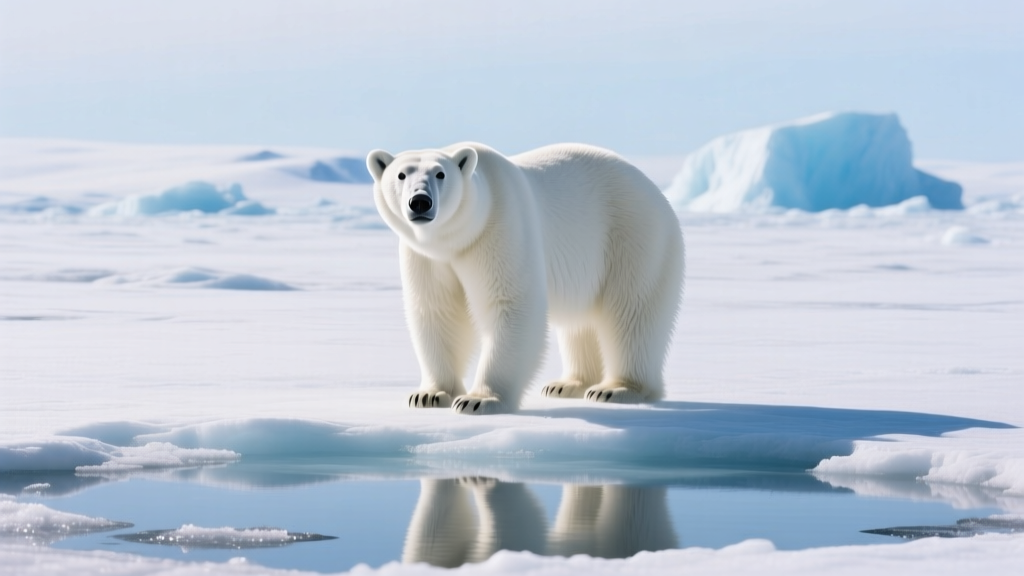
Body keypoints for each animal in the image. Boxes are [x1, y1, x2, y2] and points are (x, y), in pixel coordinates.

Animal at [366, 143, 684, 414]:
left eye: (440, 173)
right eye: (401, 174)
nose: (420, 202)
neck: (457, 238)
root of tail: (655, 190)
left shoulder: (500, 228)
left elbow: (510, 304)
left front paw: (479, 400)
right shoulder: (428, 258)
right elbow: (437, 312)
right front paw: (430, 395)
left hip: (634, 238)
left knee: (632, 312)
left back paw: (616, 389)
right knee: (580, 322)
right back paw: (567, 384)